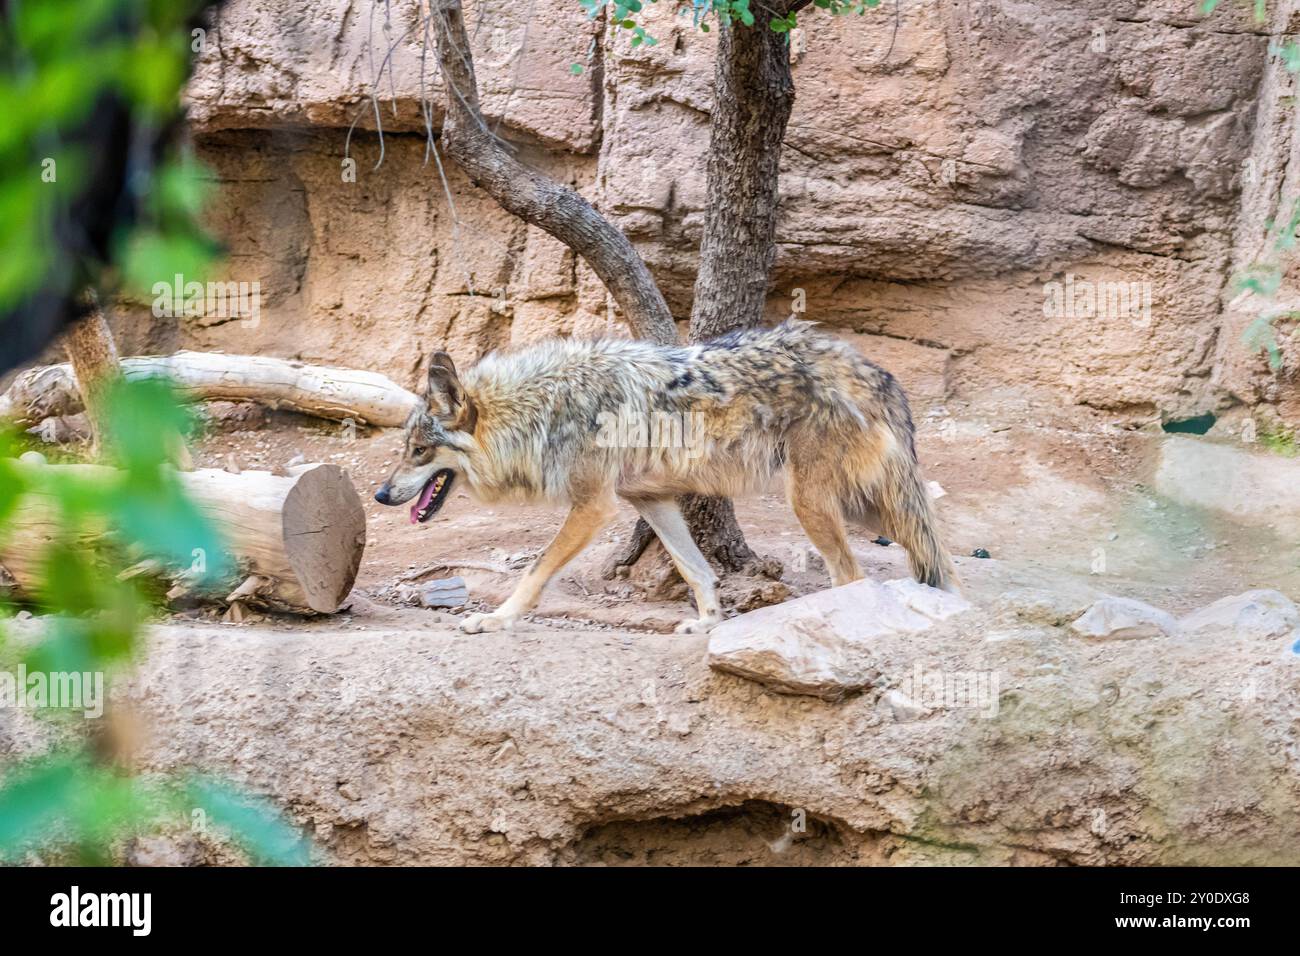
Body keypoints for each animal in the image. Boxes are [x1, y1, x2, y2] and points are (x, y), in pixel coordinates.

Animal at [374, 321, 958, 634]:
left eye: (420, 451)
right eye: (405, 450)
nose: (380, 494)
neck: (542, 408)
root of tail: (872, 369)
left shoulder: (594, 507)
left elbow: (535, 571)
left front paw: (495, 620)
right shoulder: (649, 500)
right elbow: (697, 570)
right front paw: (708, 623)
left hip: (814, 505)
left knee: (854, 575)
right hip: (867, 507)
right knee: (939, 559)